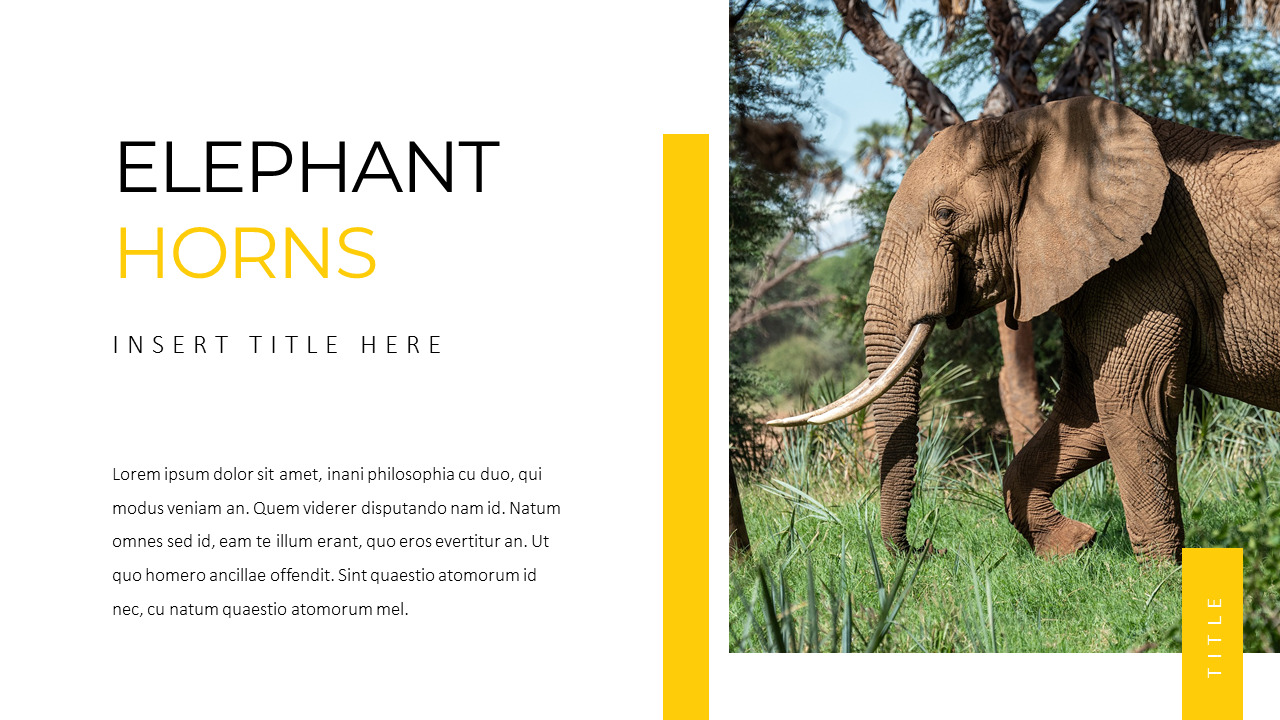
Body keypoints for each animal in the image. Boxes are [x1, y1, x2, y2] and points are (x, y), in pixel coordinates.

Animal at [769, 96, 1280, 563]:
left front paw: (1158, 579)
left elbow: (1132, 402)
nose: (929, 549)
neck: (1034, 124)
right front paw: (1072, 546)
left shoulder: (1144, 265)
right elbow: (1086, 411)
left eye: (945, 215)